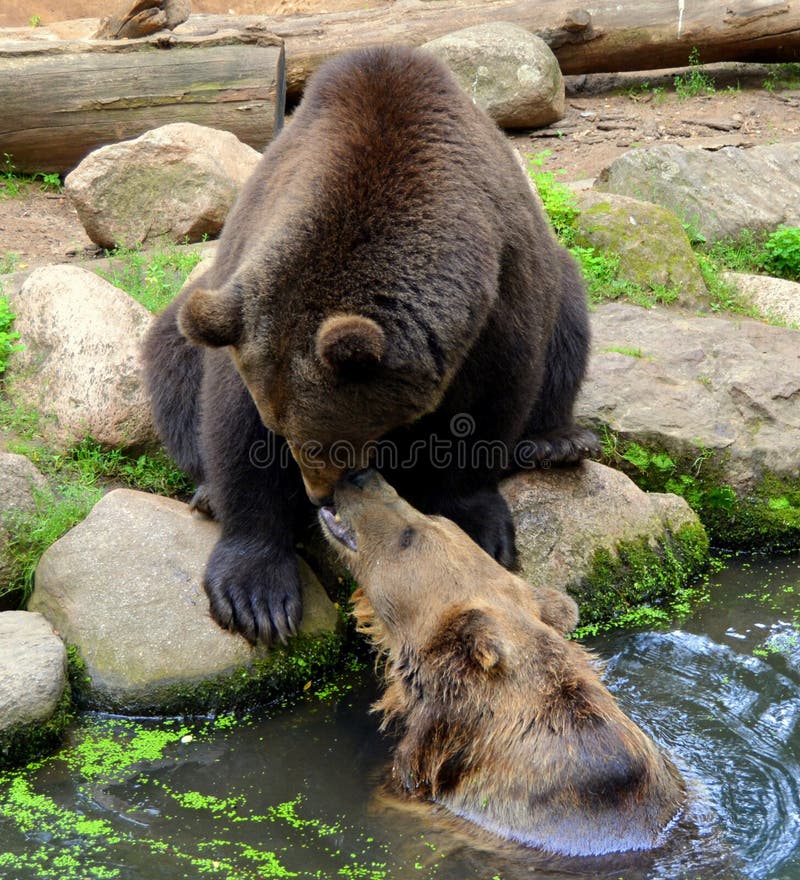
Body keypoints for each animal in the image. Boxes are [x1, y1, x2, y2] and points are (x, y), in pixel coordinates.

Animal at [142, 45, 597, 645]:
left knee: (569, 329)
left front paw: (479, 523)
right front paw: (255, 594)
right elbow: (233, 427)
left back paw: (556, 442)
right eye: (286, 433)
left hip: (559, 283)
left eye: (333, 439)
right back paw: (207, 493)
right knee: (170, 356)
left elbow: (489, 409)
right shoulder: (249, 307)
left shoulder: (501, 301)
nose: (318, 494)